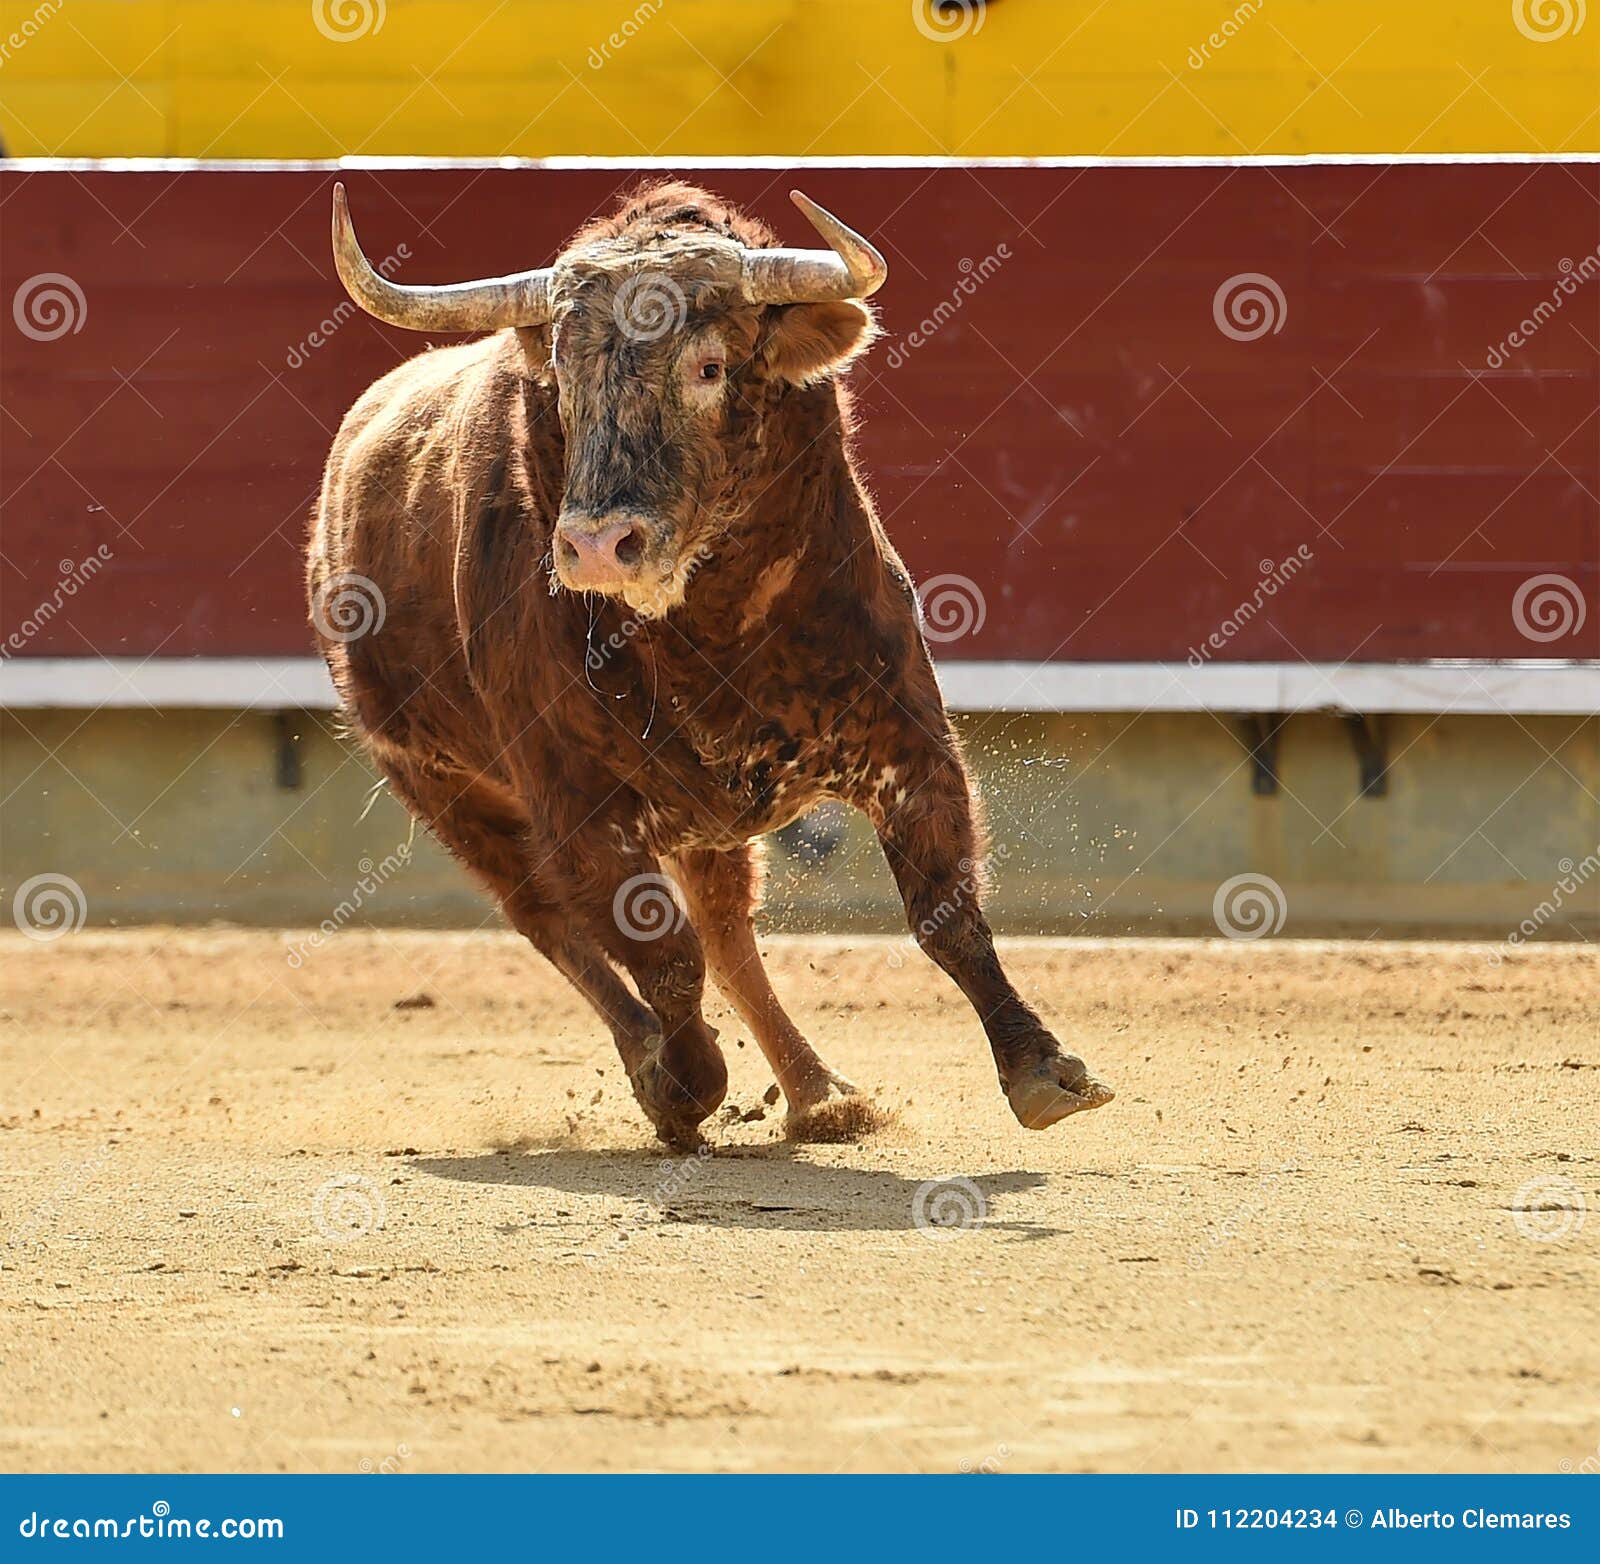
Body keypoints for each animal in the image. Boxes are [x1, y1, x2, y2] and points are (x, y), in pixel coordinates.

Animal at [309, 179, 1114, 1147]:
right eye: (567, 382)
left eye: (708, 368)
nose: (596, 546)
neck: (716, 629)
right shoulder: (576, 802)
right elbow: (659, 955)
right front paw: (684, 1079)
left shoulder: (908, 740)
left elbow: (942, 913)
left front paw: (1041, 1068)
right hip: (445, 788)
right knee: (552, 923)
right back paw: (663, 1071)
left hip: (692, 824)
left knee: (727, 933)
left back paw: (817, 1093)